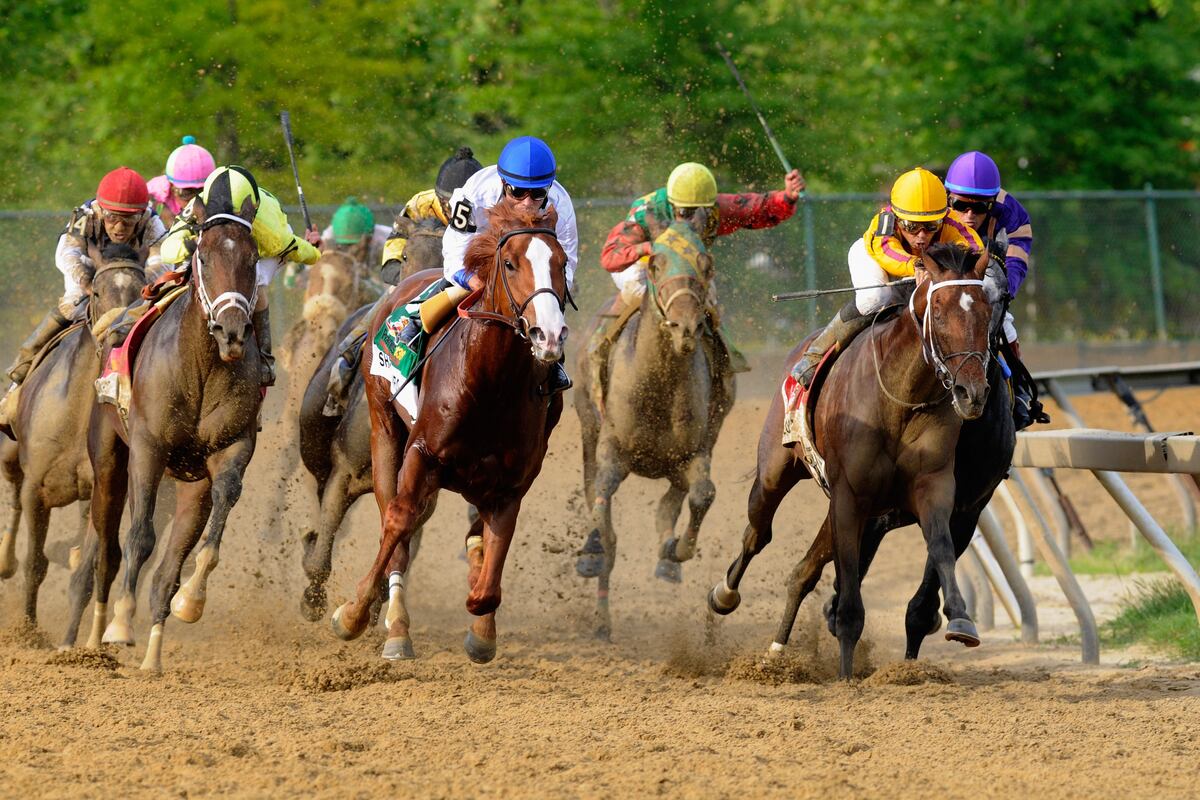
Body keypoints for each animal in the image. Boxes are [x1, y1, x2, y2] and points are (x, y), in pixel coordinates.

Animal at [0, 250, 146, 633]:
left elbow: (89, 564)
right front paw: (28, 633)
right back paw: (5, 561)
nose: (117, 330)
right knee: (13, 495)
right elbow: (35, 562)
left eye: (141, 289)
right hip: (10, 451)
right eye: (96, 291)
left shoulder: (103, 486)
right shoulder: (37, 488)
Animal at [63, 195, 265, 671]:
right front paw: (120, 624)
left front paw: (192, 600)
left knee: (166, 571)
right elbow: (139, 537)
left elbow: (218, 512)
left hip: (190, 487)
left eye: (253, 259)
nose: (232, 331)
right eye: (203, 257)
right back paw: (96, 637)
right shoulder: (148, 450)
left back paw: (153, 658)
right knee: (106, 550)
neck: (202, 367)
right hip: (108, 463)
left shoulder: (231, 449)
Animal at [328, 201, 571, 662]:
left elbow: (489, 574)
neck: (490, 385)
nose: (548, 335)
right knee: (395, 522)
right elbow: (399, 521)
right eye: (510, 263)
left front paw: (482, 630)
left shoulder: (511, 484)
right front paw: (352, 614)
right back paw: (396, 628)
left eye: (561, 263)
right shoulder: (422, 452)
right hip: (384, 430)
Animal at [571, 209, 729, 642]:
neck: (657, 384)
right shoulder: (611, 451)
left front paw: (673, 550)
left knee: (673, 501)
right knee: (594, 494)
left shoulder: (694, 453)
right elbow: (604, 508)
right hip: (588, 429)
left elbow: (703, 495)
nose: (685, 327)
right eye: (655, 263)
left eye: (706, 264)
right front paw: (595, 558)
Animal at [705, 242, 998, 676]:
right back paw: (724, 595)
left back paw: (776, 652)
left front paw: (960, 619)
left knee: (802, 572)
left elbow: (941, 546)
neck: (902, 396)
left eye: (986, 312)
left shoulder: (934, 488)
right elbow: (848, 596)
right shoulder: (849, 496)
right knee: (757, 532)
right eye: (939, 311)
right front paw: (846, 674)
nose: (972, 393)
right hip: (774, 472)